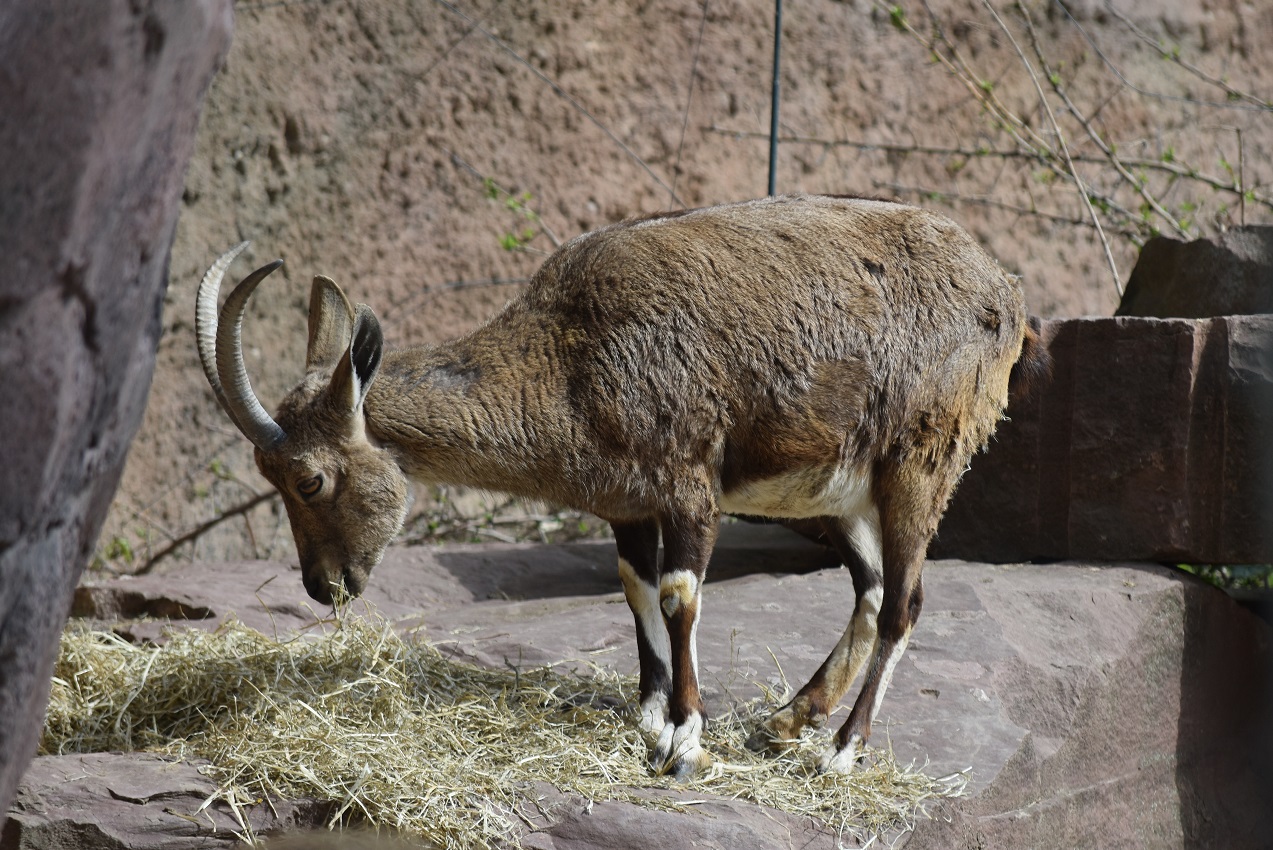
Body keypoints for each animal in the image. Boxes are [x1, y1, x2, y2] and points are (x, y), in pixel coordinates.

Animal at [196, 194, 1046, 778]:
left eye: (309, 478)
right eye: (267, 474)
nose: (324, 585)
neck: (569, 361)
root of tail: (1007, 295)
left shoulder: (688, 483)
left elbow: (679, 595)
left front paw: (685, 741)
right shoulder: (626, 503)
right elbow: (634, 587)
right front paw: (648, 717)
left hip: (922, 460)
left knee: (903, 601)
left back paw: (840, 750)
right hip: (831, 491)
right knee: (868, 588)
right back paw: (787, 718)